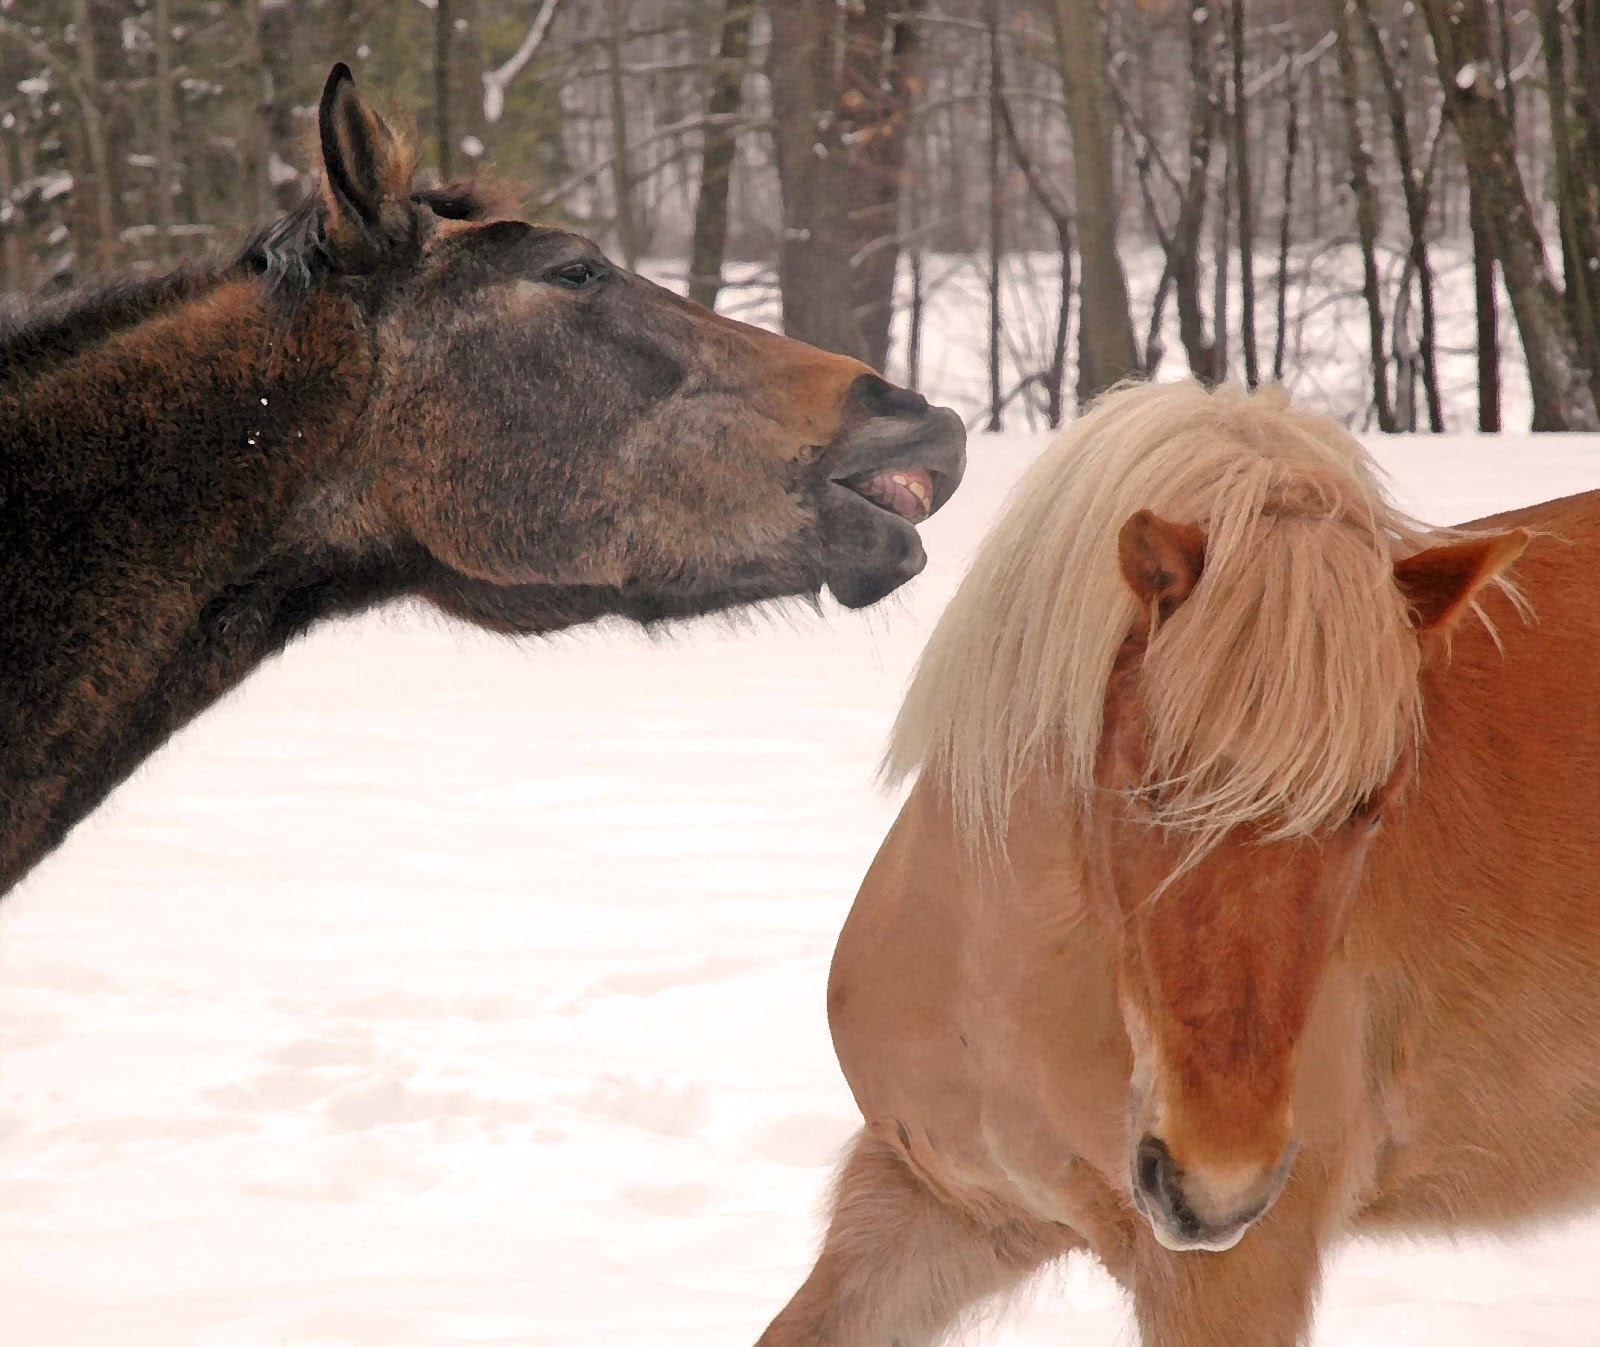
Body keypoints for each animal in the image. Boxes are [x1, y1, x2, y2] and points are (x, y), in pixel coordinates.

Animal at [753, 378, 1600, 1346]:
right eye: (1150, 785)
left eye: (1370, 805)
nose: (1215, 1182)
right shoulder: (936, 1205)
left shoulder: (1231, 1276)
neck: (1007, 989)